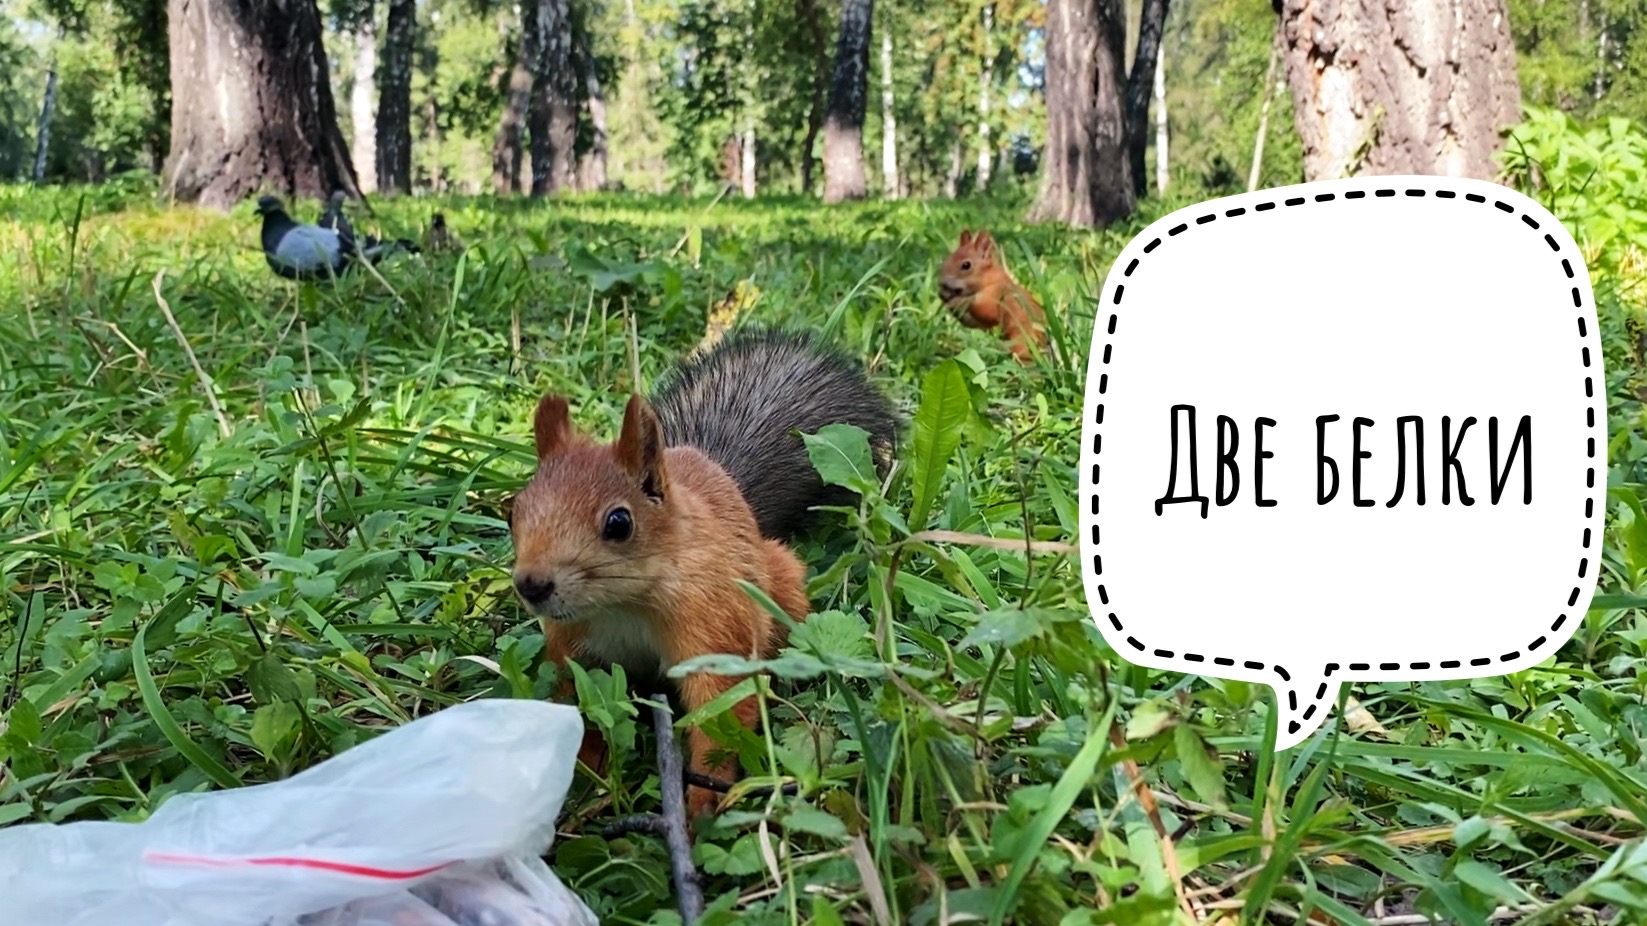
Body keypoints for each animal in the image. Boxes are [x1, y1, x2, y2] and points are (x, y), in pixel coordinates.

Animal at [508, 328, 900, 820]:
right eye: (513, 510)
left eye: (619, 523)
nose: (532, 585)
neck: (626, 603)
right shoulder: (576, 648)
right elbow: (582, 702)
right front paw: (582, 769)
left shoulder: (712, 622)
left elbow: (720, 708)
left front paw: (702, 800)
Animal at [937, 229, 1049, 364]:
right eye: (947, 260)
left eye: (966, 265)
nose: (942, 284)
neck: (990, 282)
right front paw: (945, 297)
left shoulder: (997, 297)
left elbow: (988, 312)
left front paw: (960, 301)